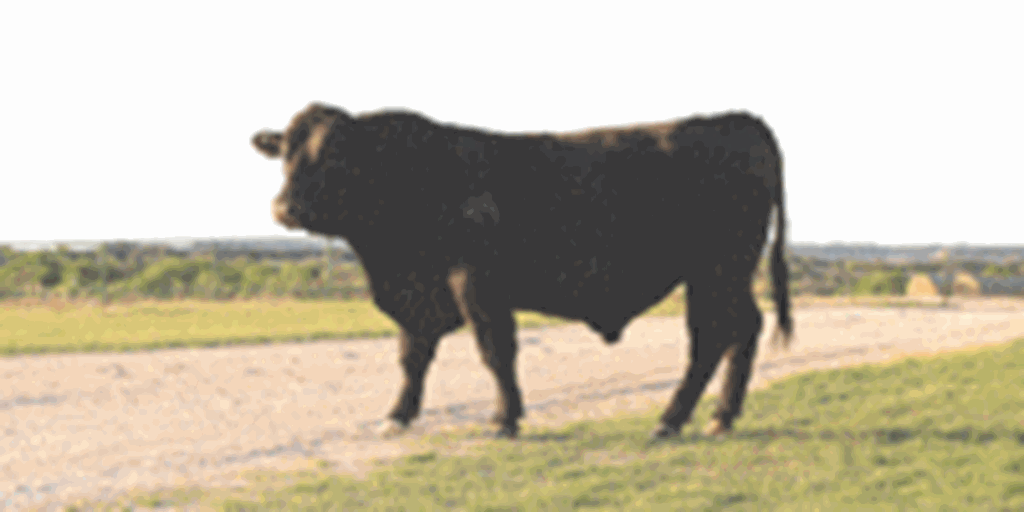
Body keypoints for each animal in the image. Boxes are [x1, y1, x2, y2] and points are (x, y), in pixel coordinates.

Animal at [251, 102, 793, 441]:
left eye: (336, 154)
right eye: (285, 154)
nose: (284, 208)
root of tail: (737, 120)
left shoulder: (476, 282)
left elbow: (495, 352)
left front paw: (504, 420)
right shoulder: (422, 290)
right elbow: (412, 356)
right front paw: (397, 416)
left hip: (716, 270)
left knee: (709, 338)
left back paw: (672, 420)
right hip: (726, 275)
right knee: (744, 328)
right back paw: (721, 417)